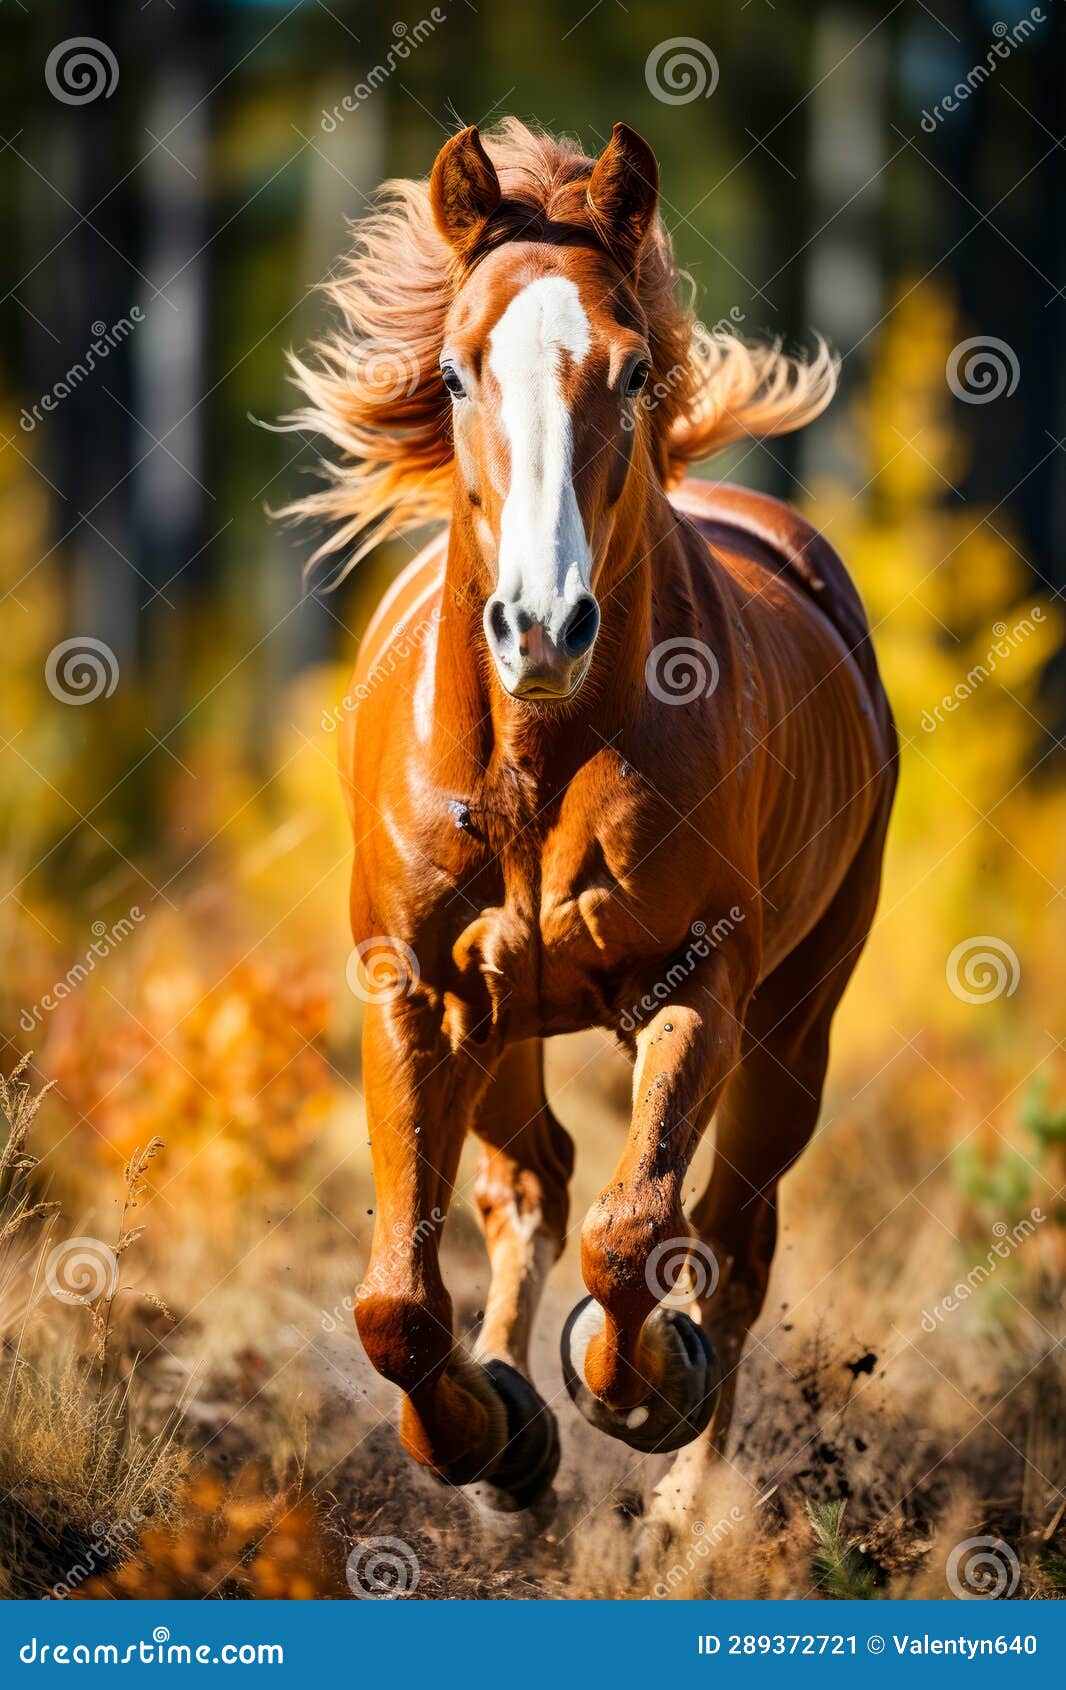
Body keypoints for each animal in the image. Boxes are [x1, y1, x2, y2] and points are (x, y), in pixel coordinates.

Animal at [286, 118, 897, 1534]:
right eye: (455, 372)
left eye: (627, 370)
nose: (542, 626)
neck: (536, 761)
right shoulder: (415, 994)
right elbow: (397, 1299)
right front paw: (488, 1437)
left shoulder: (699, 994)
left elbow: (638, 1235)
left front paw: (639, 1384)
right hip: (504, 1024)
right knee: (531, 1185)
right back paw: (511, 1432)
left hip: (797, 1020)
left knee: (731, 1236)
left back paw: (680, 1498)